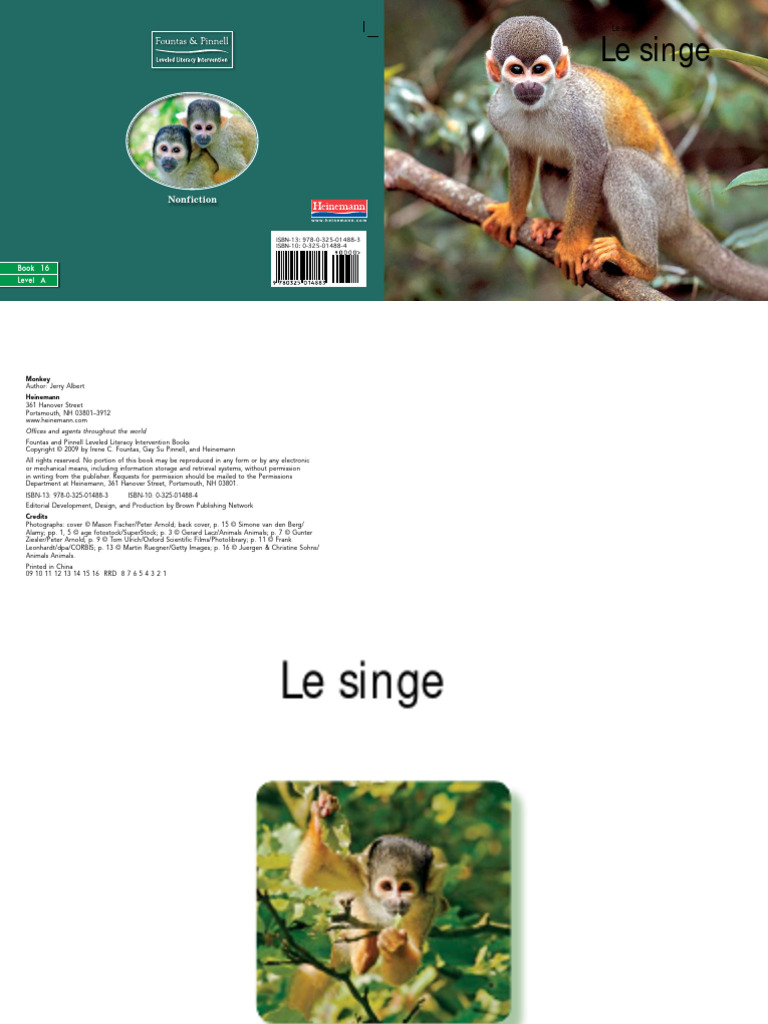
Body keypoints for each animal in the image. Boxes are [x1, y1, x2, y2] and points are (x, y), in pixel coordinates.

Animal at [286, 790, 448, 1017]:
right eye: (387, 887)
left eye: (406, 887)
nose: (397, 901)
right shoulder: (356, 877)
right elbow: (308, 872)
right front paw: (321, 816)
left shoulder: (425, 906)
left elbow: (407, 964)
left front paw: (395, 947)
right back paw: (363, 955)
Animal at [482, 15, 768, 299]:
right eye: (517, 71)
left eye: (539, 69)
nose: (529, 85)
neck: (539, 106)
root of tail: (685, 216)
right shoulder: (497, 112)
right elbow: (521, 157)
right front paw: (513, 215)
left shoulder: (579, 113)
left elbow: (594, 161)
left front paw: (573, 246)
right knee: (553, 168)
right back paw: (557, 225)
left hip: (667, 198)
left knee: (620, 164)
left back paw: (641, 265)